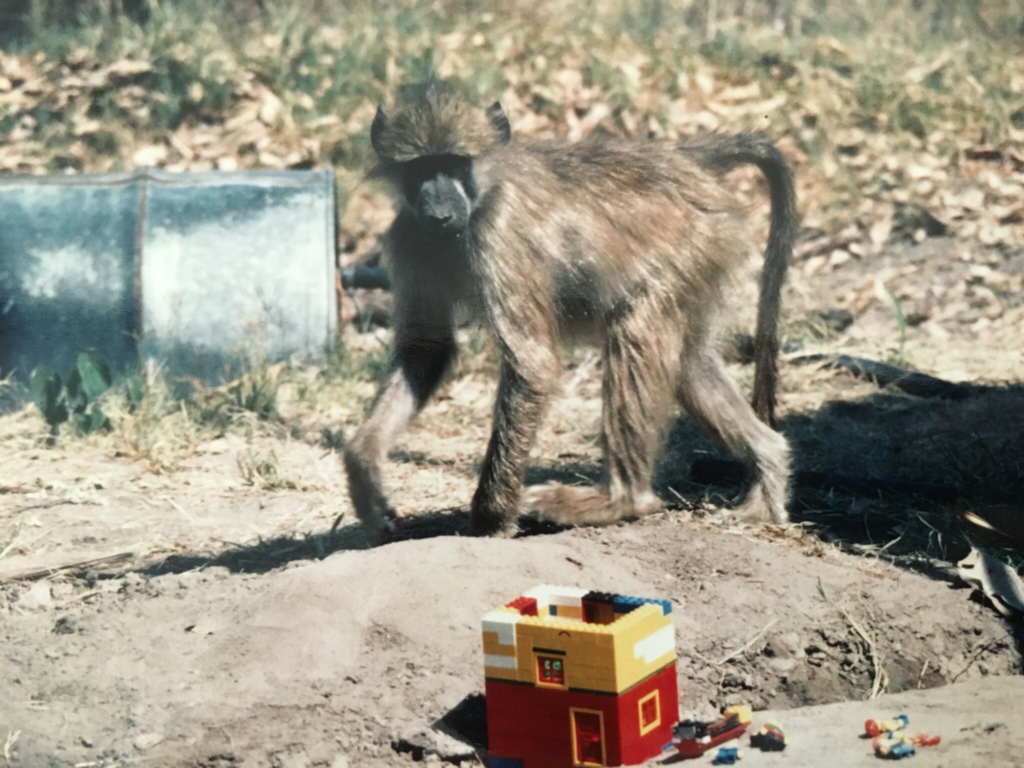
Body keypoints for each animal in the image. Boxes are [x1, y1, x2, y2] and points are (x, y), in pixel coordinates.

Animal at [342, 80, 798, 543]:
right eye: (421, 169)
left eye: (455, 164)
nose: (439, 213)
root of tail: (677, 159)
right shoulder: (408, 237)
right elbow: (426, 351)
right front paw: (365, 472)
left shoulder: (499, 235)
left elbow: (533, 366)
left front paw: (492, 518)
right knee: (690, 364)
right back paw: (767, 477)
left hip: (692, 242)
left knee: (634, 328)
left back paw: (622, 500)